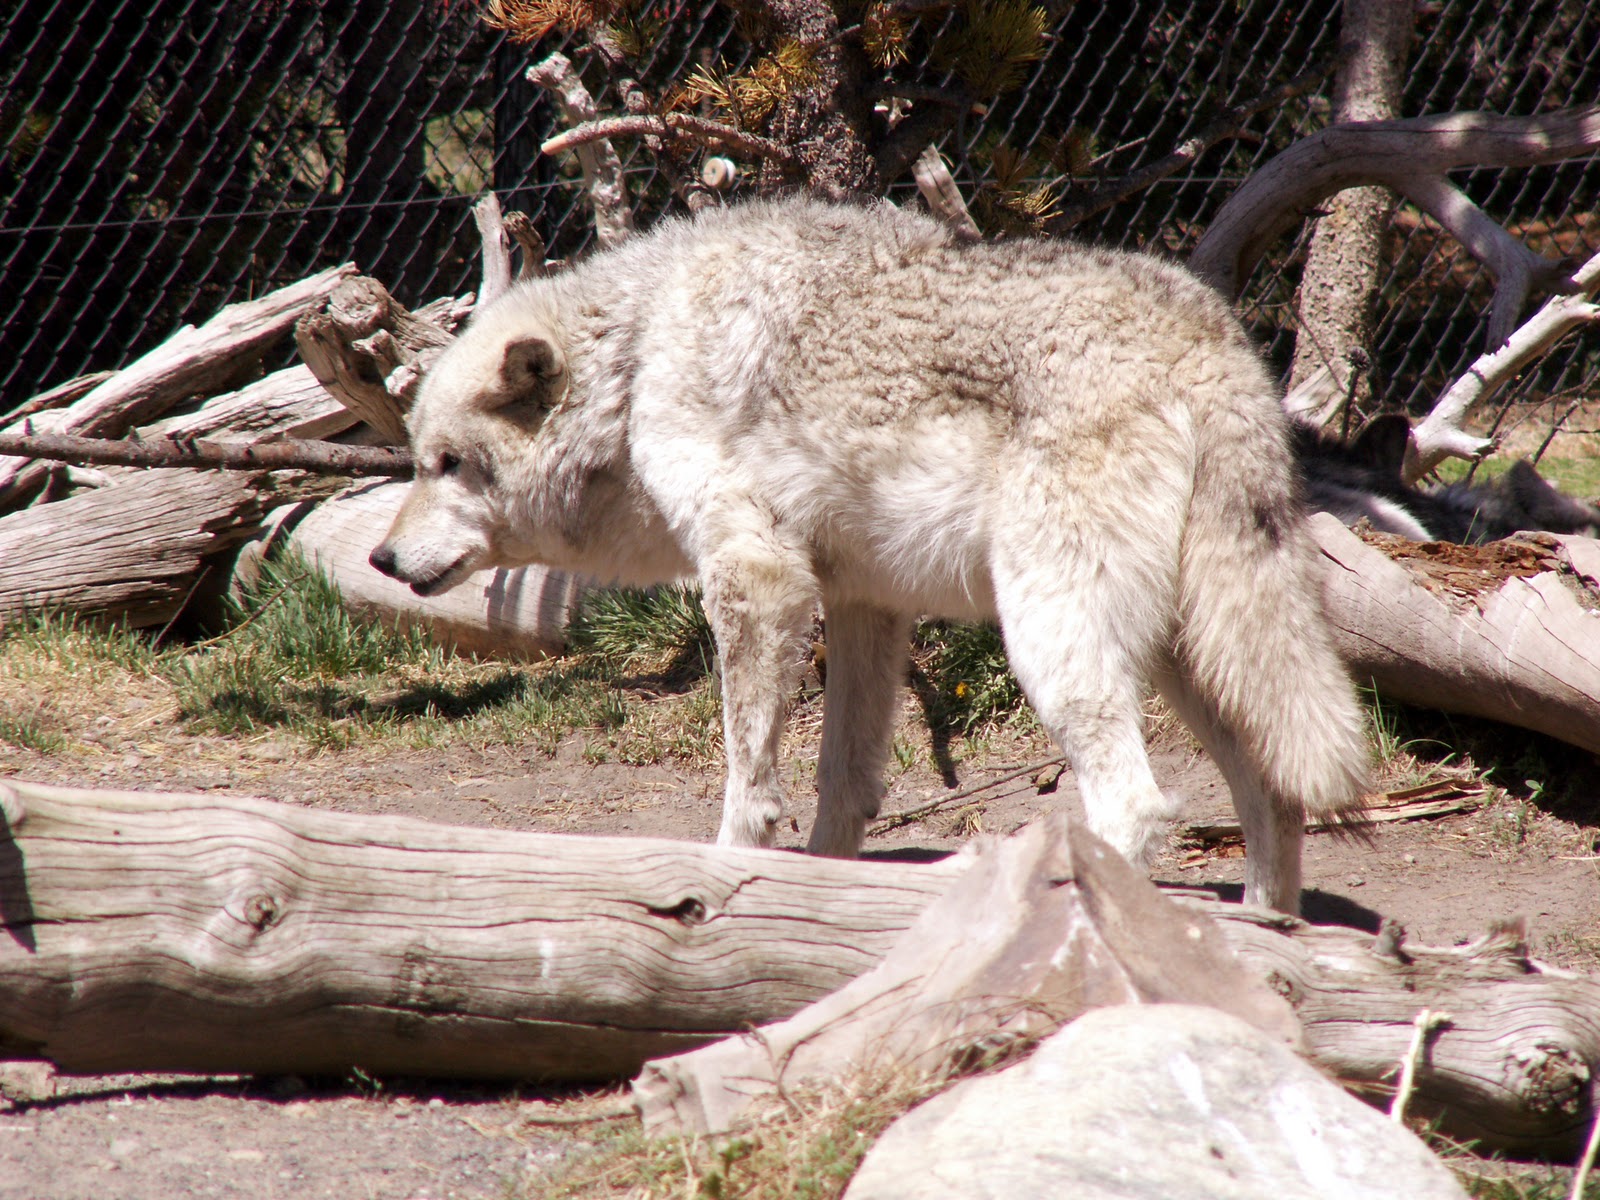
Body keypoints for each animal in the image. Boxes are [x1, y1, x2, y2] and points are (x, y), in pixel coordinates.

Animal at [369, 196, 1371, 913]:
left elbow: (748, 787)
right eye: (420, 459)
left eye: (446, 463)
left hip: (1054, 643)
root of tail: (1217, 345)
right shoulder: (864, 605)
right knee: (1275, 794)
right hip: (1182, 656)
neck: (640, 353)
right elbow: (842, 783)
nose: (380, 558)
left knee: (1135, 805)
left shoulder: (757, 578)